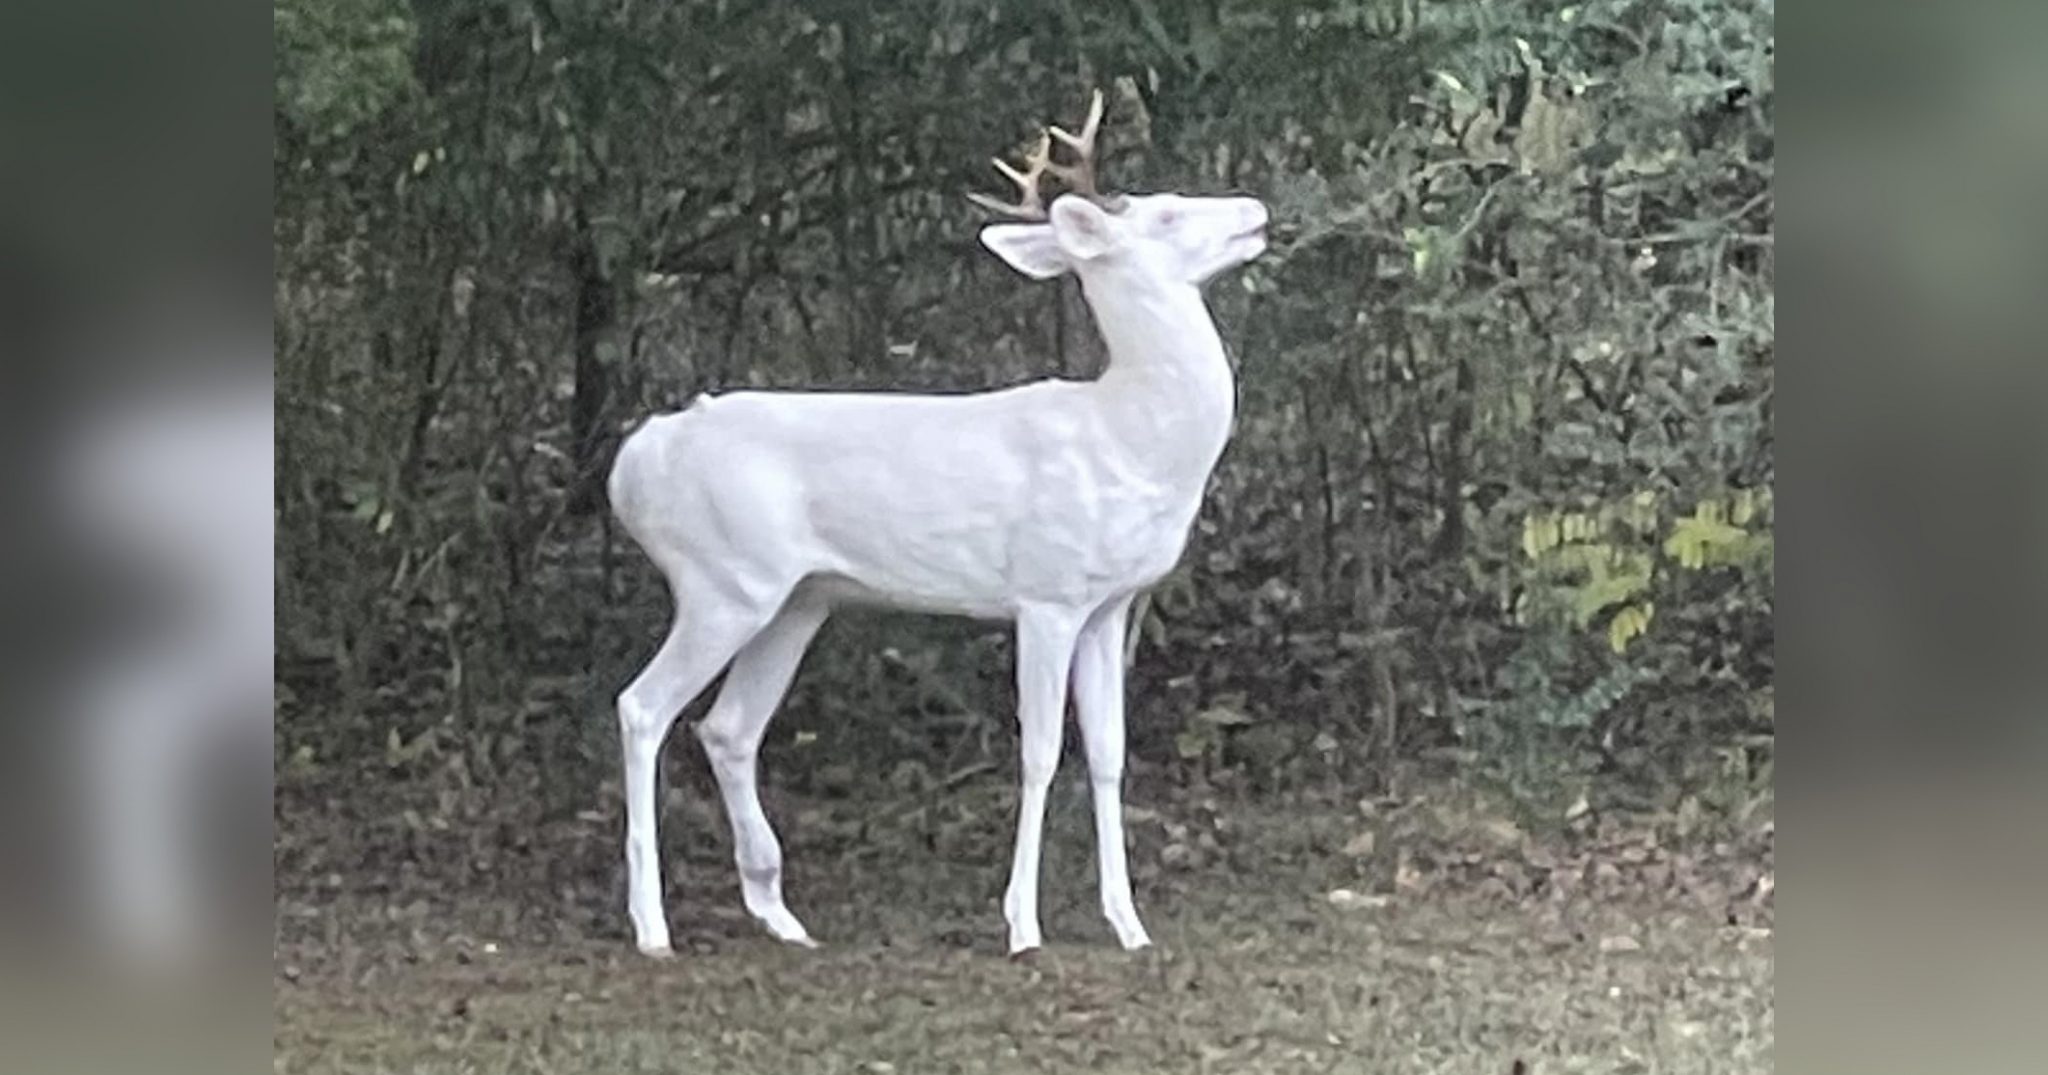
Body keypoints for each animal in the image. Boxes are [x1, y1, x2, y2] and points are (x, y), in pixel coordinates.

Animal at [608, 90, 1268, 957]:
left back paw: (779, 913)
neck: (1129, 434)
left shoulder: (1109, 603)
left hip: (796, 598)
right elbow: (1040, 752)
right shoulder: (1046, 592)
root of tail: (632, 465)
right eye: (1164, 212)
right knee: (642, 706)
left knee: (729, 727)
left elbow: (1110, 756)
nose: (1255, 209)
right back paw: (653, 924)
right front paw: (1022, 924)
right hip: (721, 580)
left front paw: (1129, 923)